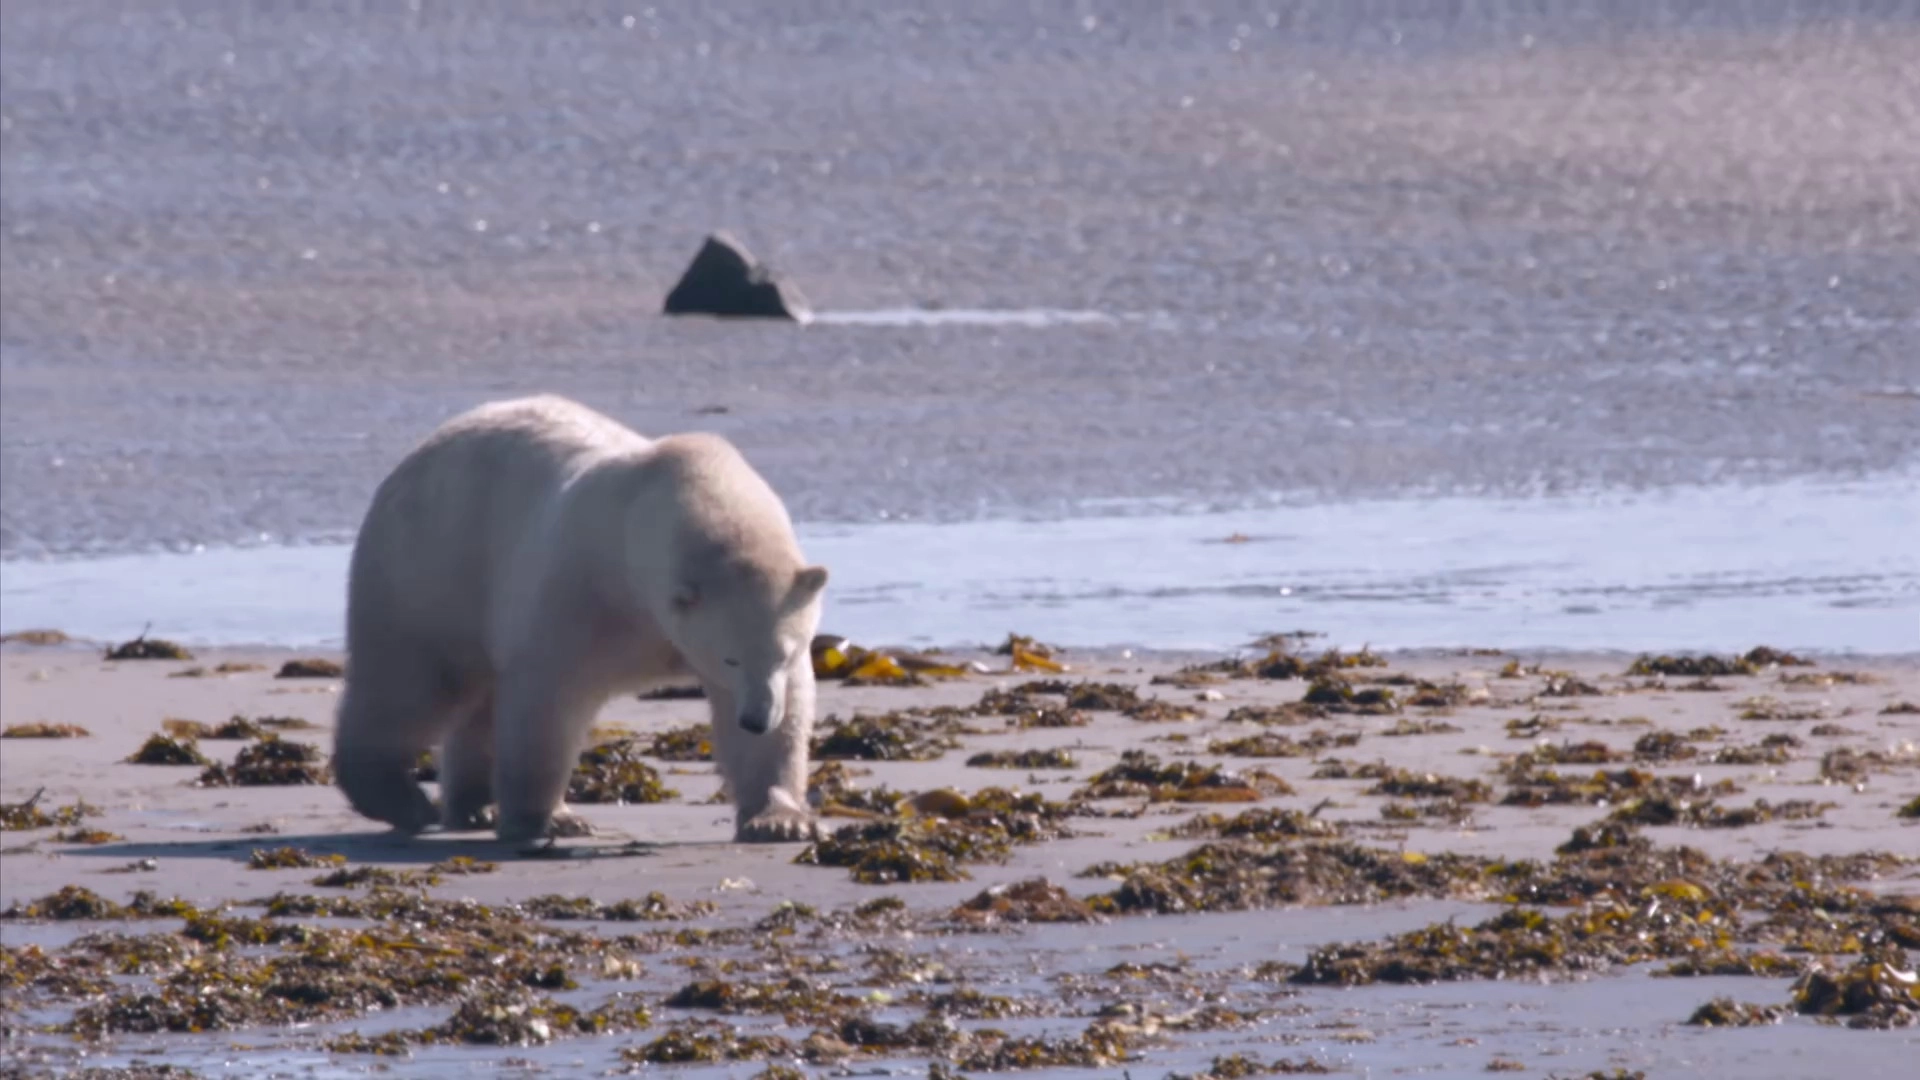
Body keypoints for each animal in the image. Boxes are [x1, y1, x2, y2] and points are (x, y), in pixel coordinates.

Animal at [331, 394, 829, 846]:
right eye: (730, 658)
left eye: (785, 654)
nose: (757, 718)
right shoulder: (583, 591)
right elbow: (549, 698)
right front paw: (546, 820)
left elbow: (779, 720)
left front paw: (779, 820)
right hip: (431, 566)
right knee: (415, 681)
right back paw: (400, 798)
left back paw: (476, 806)